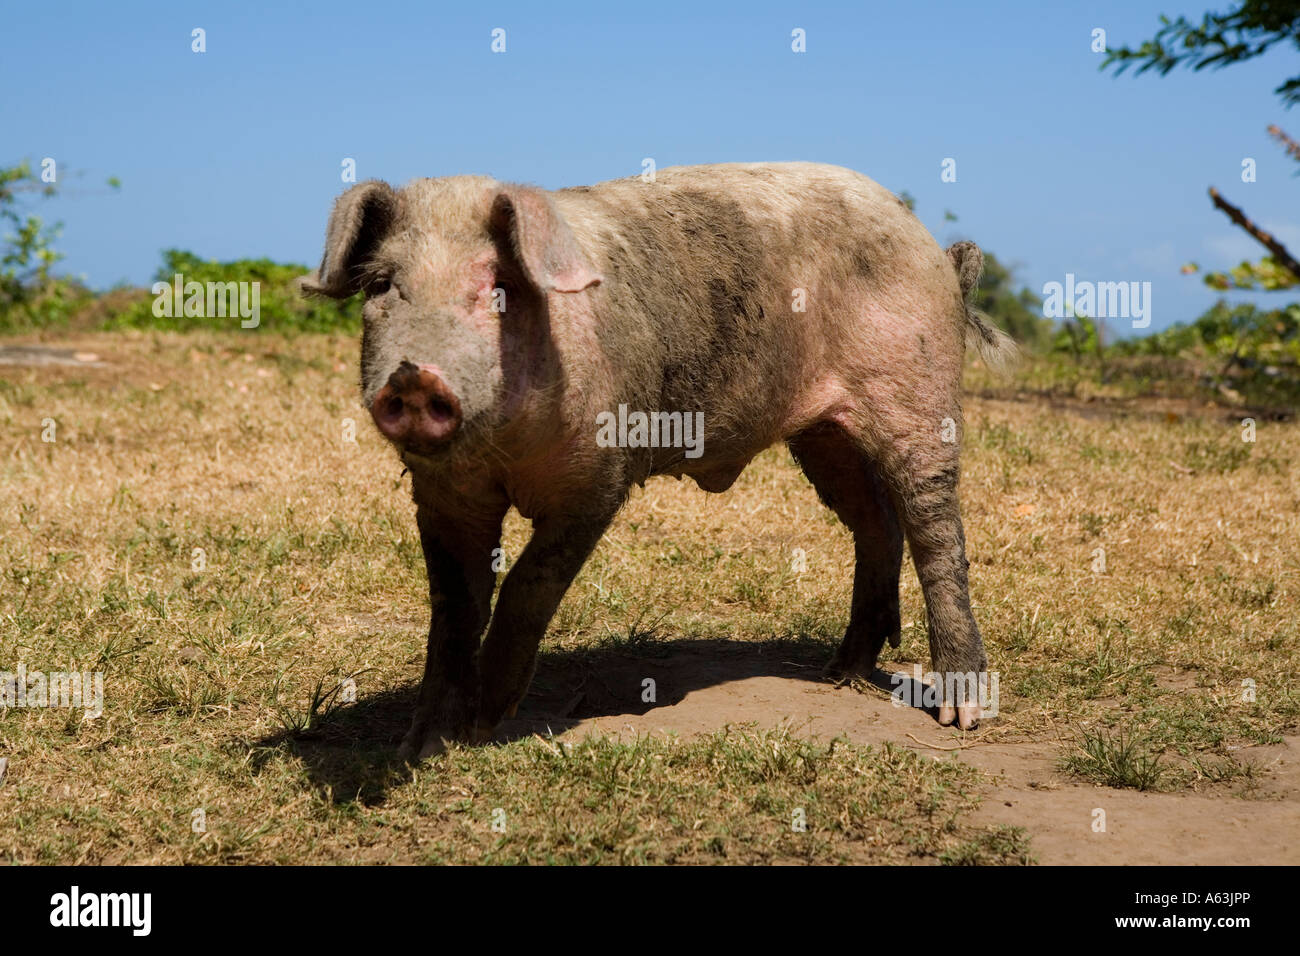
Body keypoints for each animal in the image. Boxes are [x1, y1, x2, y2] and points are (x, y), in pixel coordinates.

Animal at [302, 162, 1015, 760]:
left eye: (498, 288)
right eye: (382, 286)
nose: (414, 378)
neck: (503, 453)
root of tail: (937, 253)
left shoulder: (598, 479)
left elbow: (530, 584)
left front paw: (488, 720)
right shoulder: (442, 495)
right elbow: (453, 609)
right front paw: (422, 747)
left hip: (917, 387)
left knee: (935, 531)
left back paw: (961, 711)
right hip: (823, 433)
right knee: (876, 525)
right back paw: (840, 674)